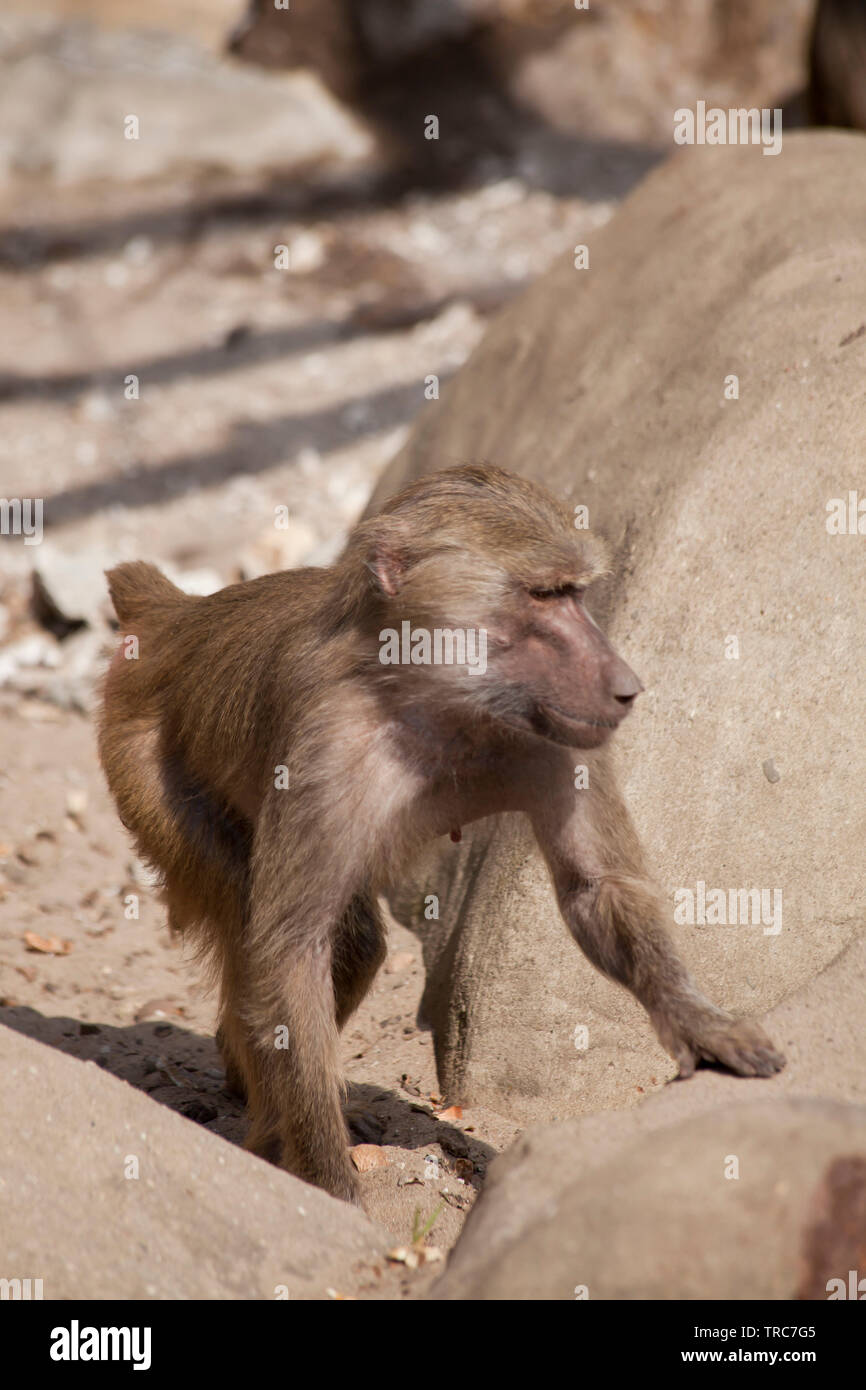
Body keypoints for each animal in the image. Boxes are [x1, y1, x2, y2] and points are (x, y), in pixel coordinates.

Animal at [98, 463, 785, 1205]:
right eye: (545, 594)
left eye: (576, 593)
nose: (627, 687)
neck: (436, 699)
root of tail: (178, 618)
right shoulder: (326, 740)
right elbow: (289, 949)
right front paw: (333, 1189)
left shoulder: (557, 736)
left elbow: (596, 887)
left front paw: (701, 1025)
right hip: (147, 771)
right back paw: (278, 1130)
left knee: (352, 948)